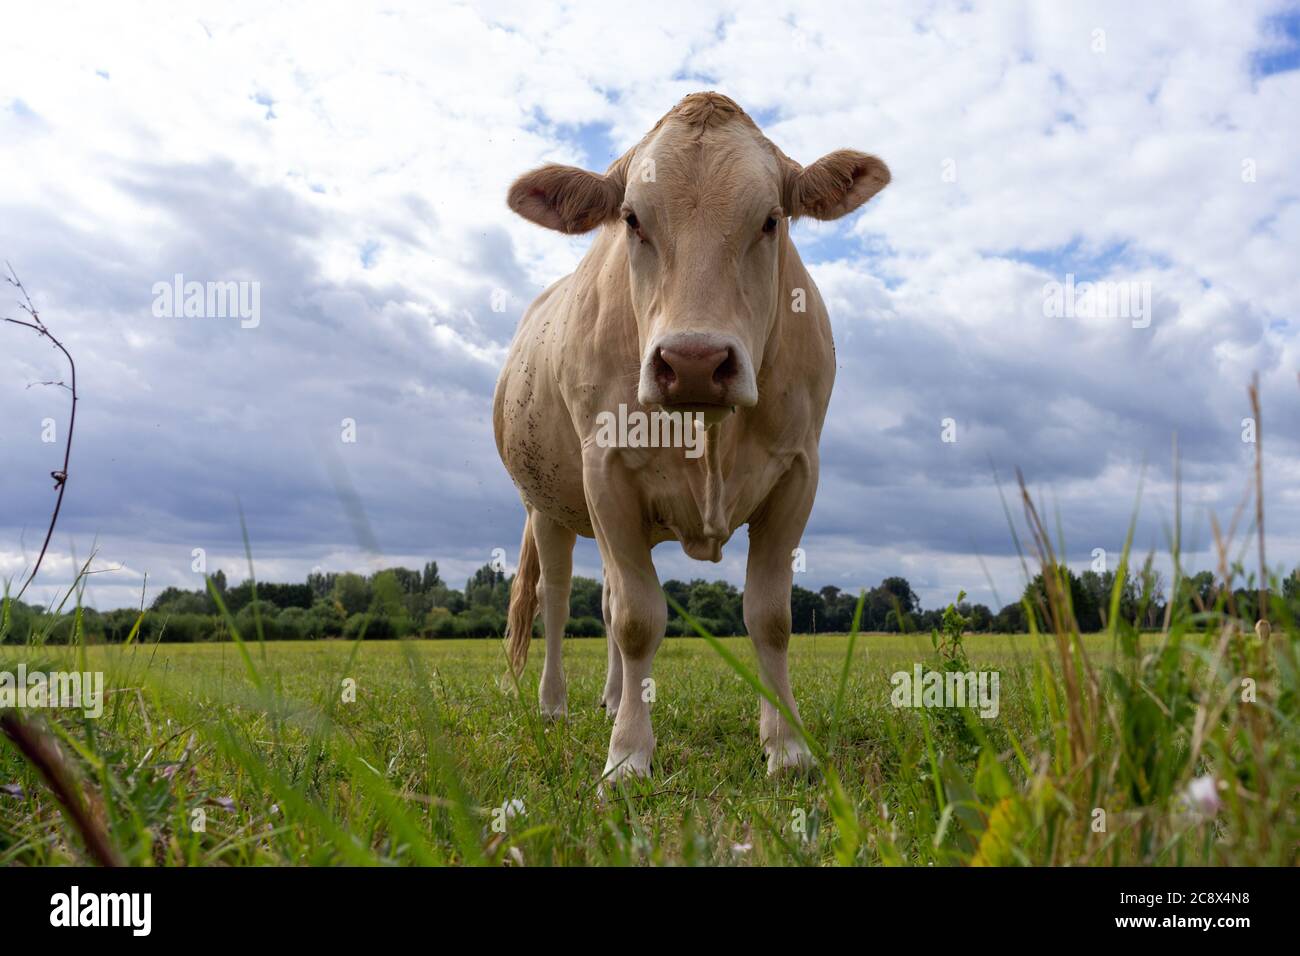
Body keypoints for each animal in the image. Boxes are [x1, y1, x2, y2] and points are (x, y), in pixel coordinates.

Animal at [494, 92, 889, 782]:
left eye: (771, 220)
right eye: (631, 219)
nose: (695, 361)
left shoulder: (798, 473)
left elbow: (770, 617)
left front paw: (786, 746)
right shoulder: (605, 472)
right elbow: (637, 619)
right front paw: (628, 755)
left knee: (602, 602)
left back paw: (611, 697)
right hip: (548, 506)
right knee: (560, 599)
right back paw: (554, 705)